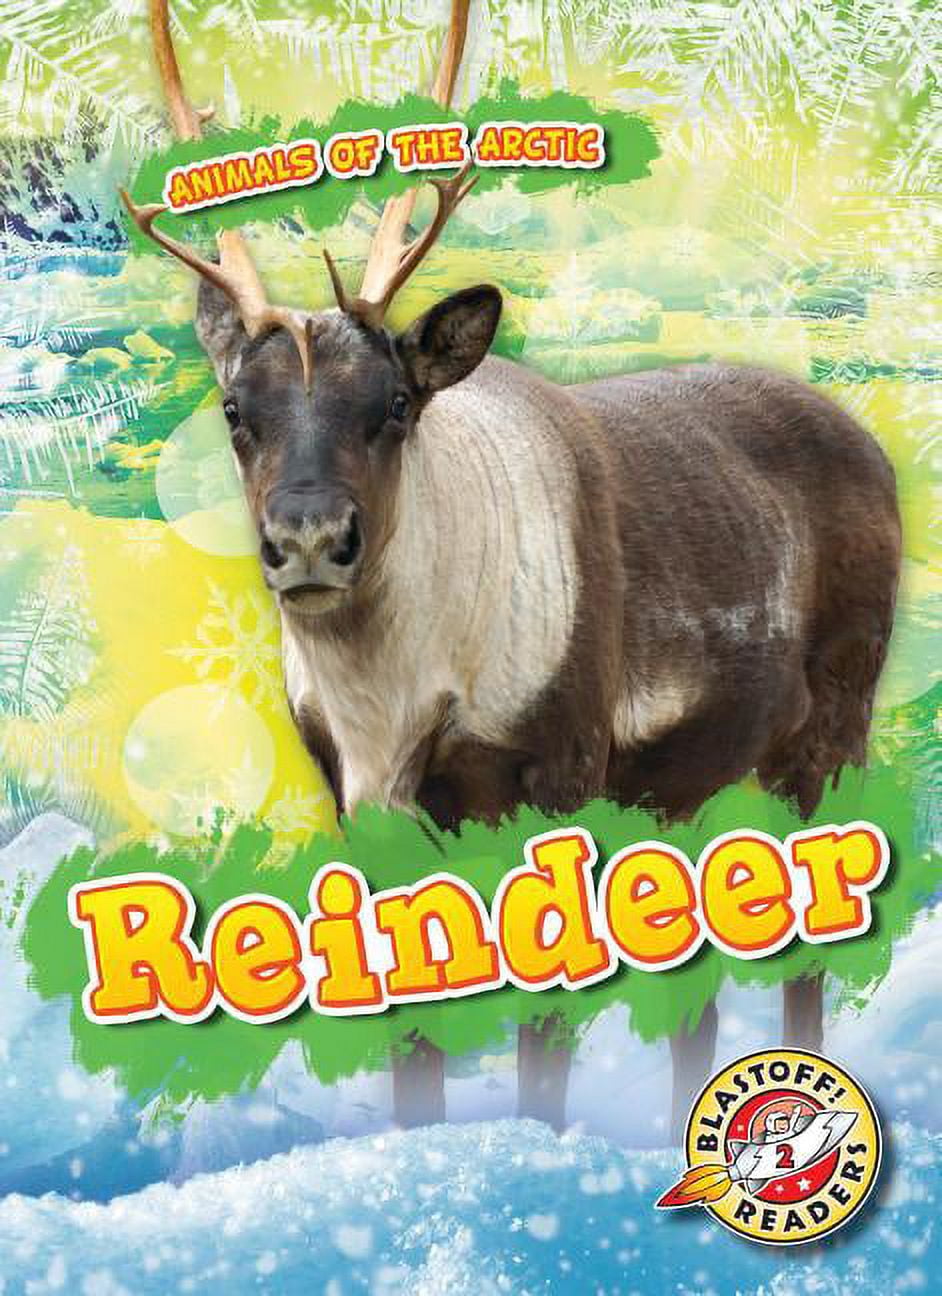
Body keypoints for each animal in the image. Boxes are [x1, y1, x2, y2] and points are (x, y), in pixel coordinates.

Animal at [126, 0, 901, 1134]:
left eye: (395, 404)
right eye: (234, 408)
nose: (310, 537)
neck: (391, 711)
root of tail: (869, 443)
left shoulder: (563, 771)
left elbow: (544, 1040)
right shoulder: (359, 797)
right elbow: (409, 1045)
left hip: (832, 728)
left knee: (809, 949)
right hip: (688, 782)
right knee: (701, 982)